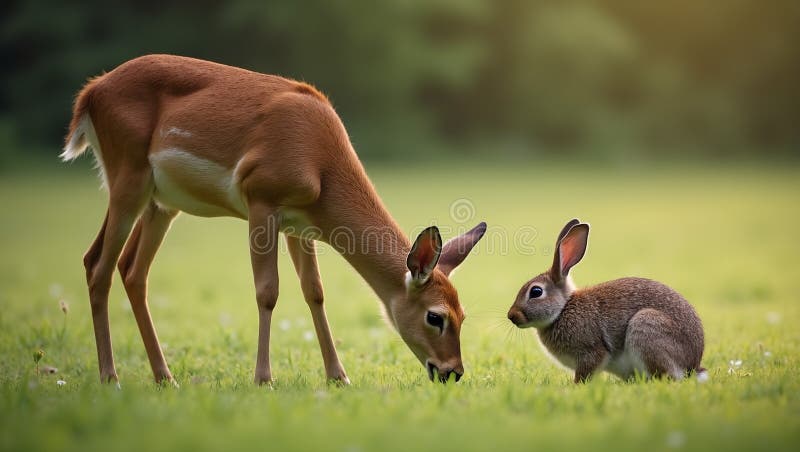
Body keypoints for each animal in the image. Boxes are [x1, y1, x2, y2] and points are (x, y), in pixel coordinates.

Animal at [62, 54, 486, 386]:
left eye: (464, 314)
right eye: (436, 316)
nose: (453, 371)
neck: (320, 165)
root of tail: (90, 93)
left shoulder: (300, 225)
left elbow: (315, 291)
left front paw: (339, 376)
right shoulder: (260, 197)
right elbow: (268, 290)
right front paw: (264, 378)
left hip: (161, 200)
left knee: (128, 268)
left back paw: (165, 377)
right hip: (127, 174)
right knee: (99, 265)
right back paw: (111, 376)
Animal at [507, 219, 706, 383]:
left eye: (536, 292)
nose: (511, 316)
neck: (562, 309)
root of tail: (693, 364)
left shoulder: (591, 352)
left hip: (646, 326)